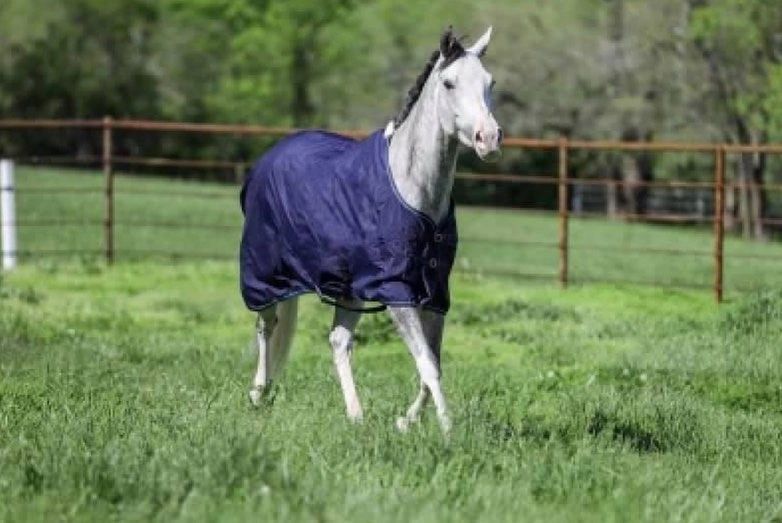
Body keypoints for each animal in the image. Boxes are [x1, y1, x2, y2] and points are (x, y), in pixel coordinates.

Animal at [239, 27, 502, 433]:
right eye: (449, 83)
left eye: (490, 83)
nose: (488, 138)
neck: (412, 191)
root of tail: (271, 156)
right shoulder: (396, 290)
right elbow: (428, 365)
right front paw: (447, 430)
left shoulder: (434, 293)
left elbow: (432, 364)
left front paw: (406, 421)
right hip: (268, 278)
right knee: (267, 328)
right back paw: (258, 395)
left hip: (347, 289)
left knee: (338, 341)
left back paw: (355, 415)